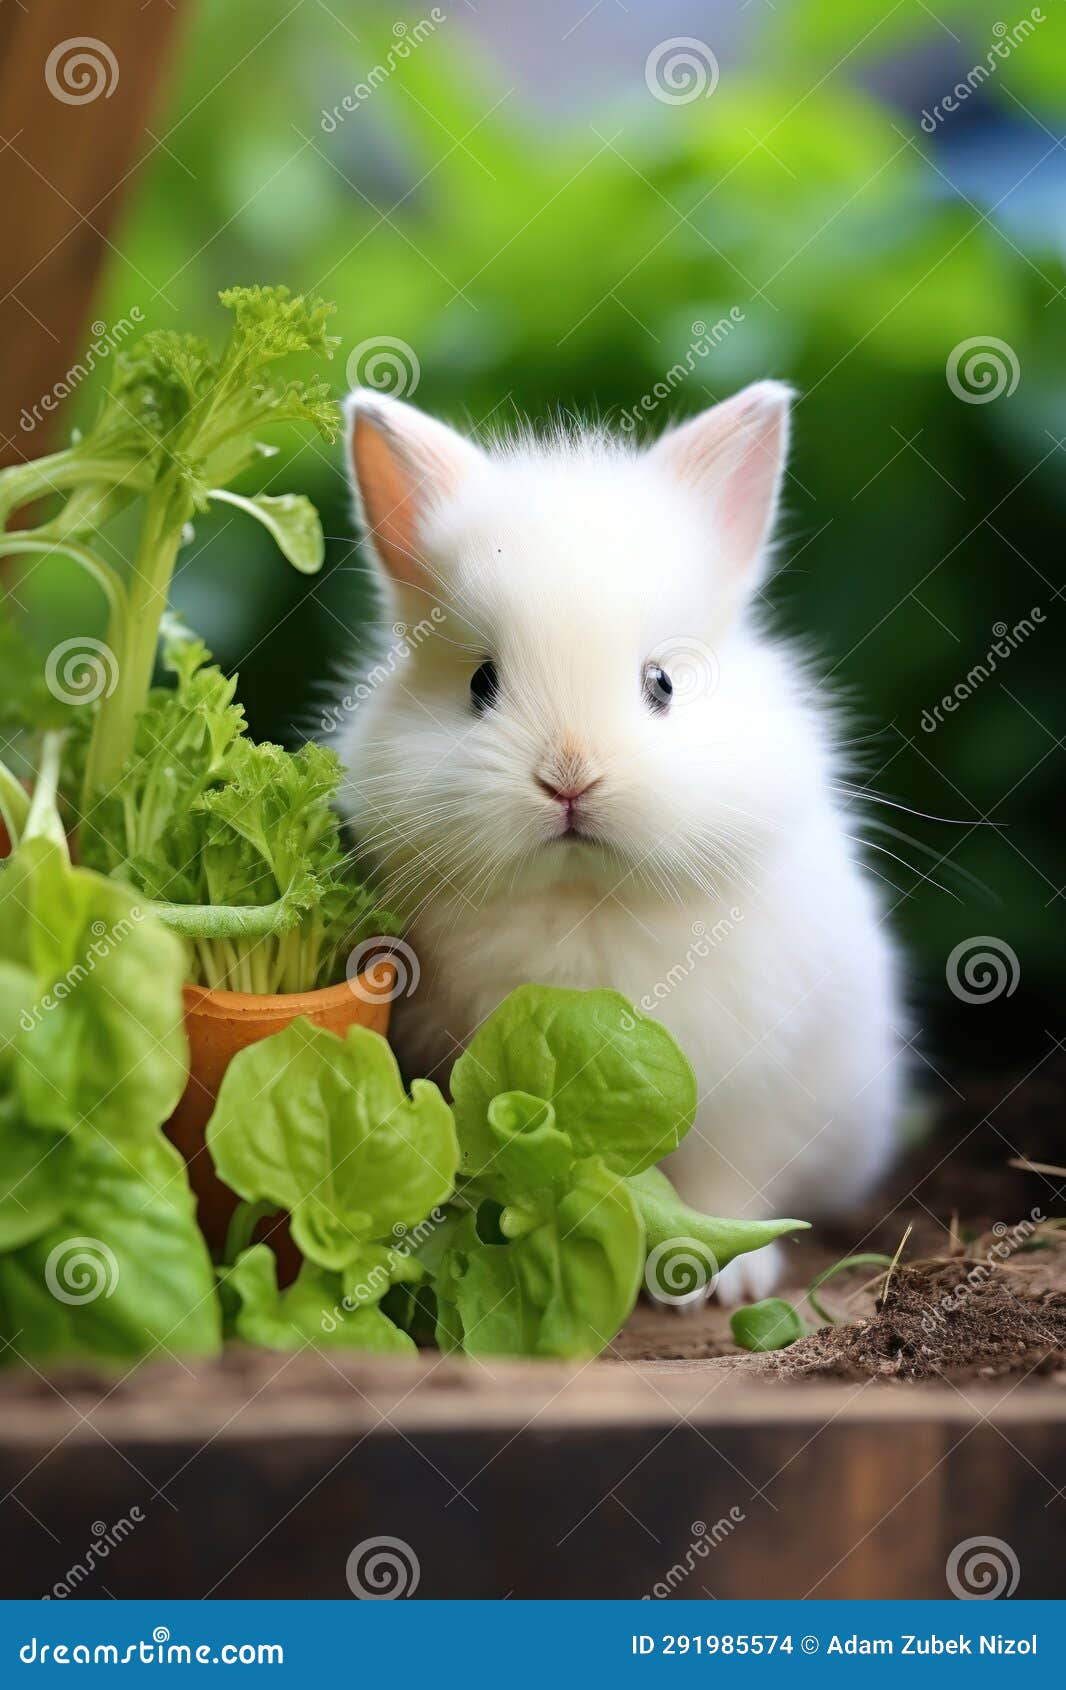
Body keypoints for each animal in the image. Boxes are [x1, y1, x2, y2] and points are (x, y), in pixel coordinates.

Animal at [335, 381, 905, 1303]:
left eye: (662, 683)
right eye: (480, 683)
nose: (570, 776)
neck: (582, 896)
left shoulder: (758, 1094)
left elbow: (730, 1182)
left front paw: (724, 1281)